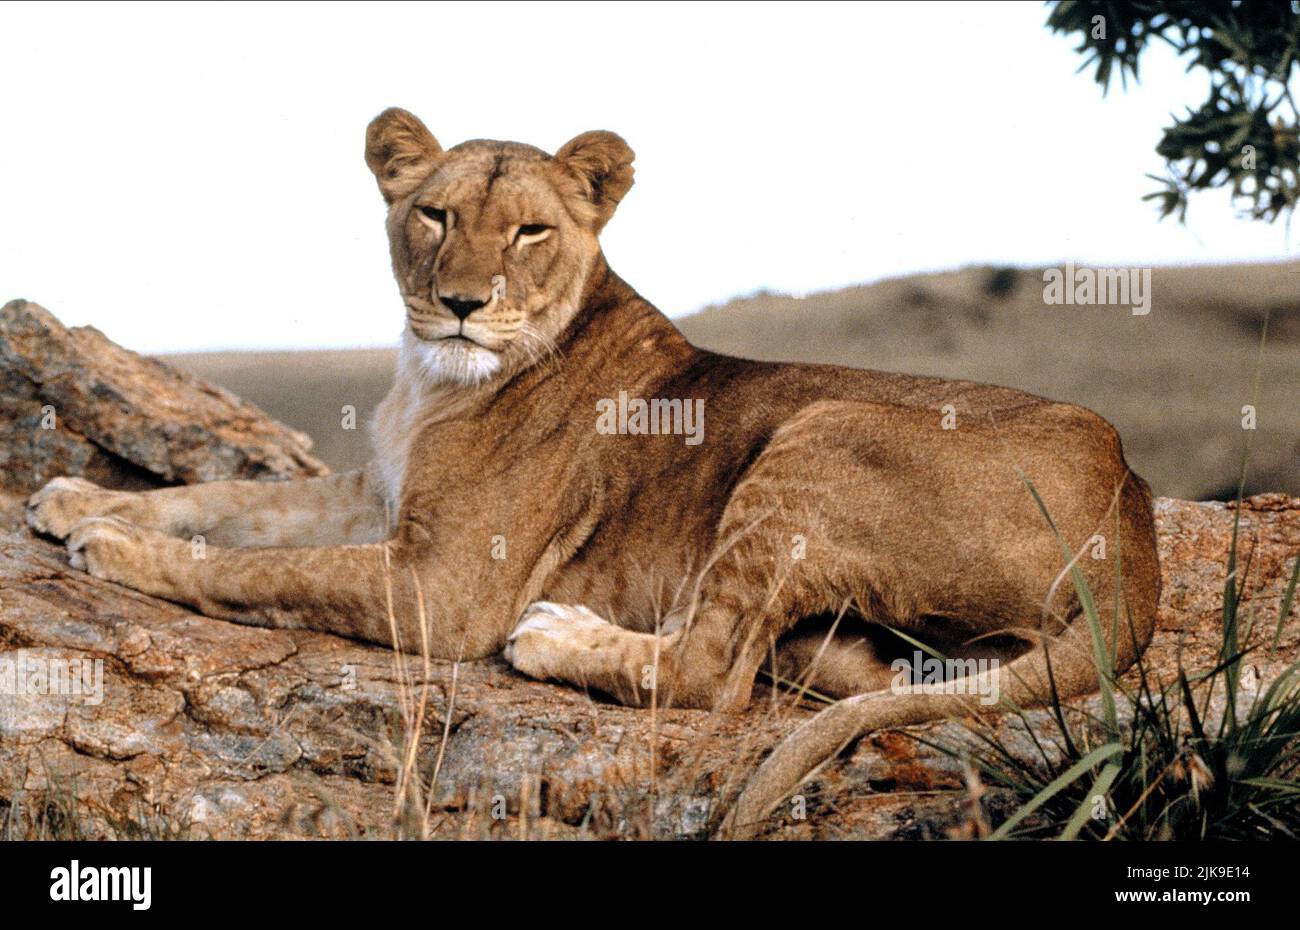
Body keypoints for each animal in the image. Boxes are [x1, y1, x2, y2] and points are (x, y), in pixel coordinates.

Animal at [26, 108, 1160, 834]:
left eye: (530, 230)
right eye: (434, 215)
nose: (462, 304)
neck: (429, 379)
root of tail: (1135, 524)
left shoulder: (448, 587)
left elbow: (255, 570)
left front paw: (107, 542)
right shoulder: (376, 494)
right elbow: (232, 502)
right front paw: (78, 497)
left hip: (820, 426)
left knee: (712, 672)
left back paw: (559, 637)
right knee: (824, 671)